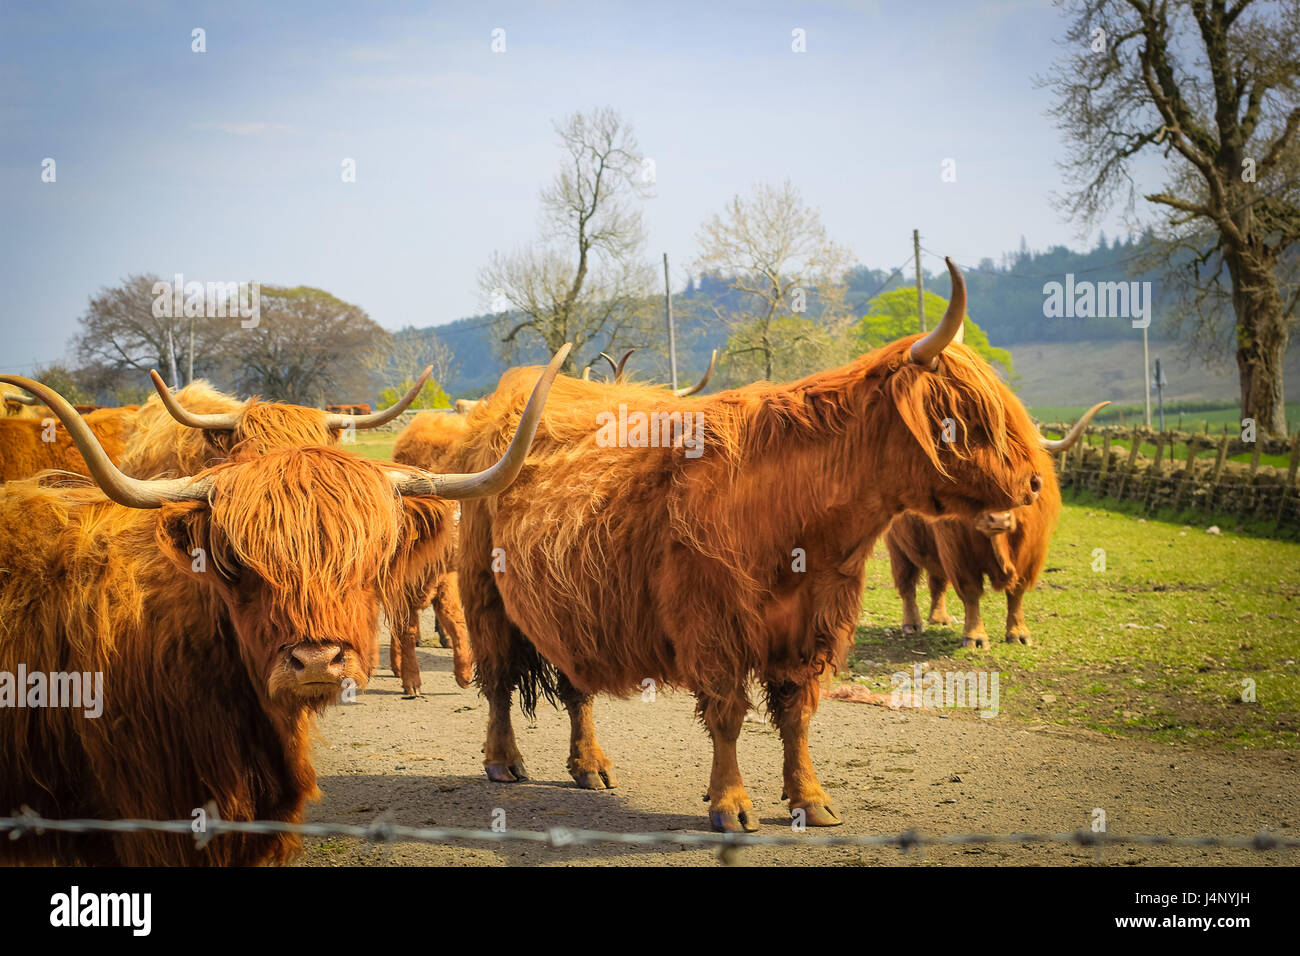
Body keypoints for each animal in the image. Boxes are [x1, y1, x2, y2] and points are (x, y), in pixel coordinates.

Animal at [455, 258, 1045, 832]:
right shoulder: (712, 626)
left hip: (566, 607)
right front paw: (731, 804)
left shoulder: (810, 626)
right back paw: (503, 760)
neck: (804, 525)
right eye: (966, 411)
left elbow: (796, 714)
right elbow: (728, 716)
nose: (1035, 482)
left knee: (576, 687)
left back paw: (591, 766)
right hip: (485, 593)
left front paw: (811, 799)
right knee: (499, 680)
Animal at [885, 401, 1110, 648]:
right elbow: (971, 591)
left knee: (937, 581)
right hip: (898, 546)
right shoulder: (957, 551)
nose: (998, 519)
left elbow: (1016, 593)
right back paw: (912, 624)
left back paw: (939, 618)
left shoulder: (1029, 554)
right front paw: (975, 637)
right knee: (907, 583)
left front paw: (1019, 633)